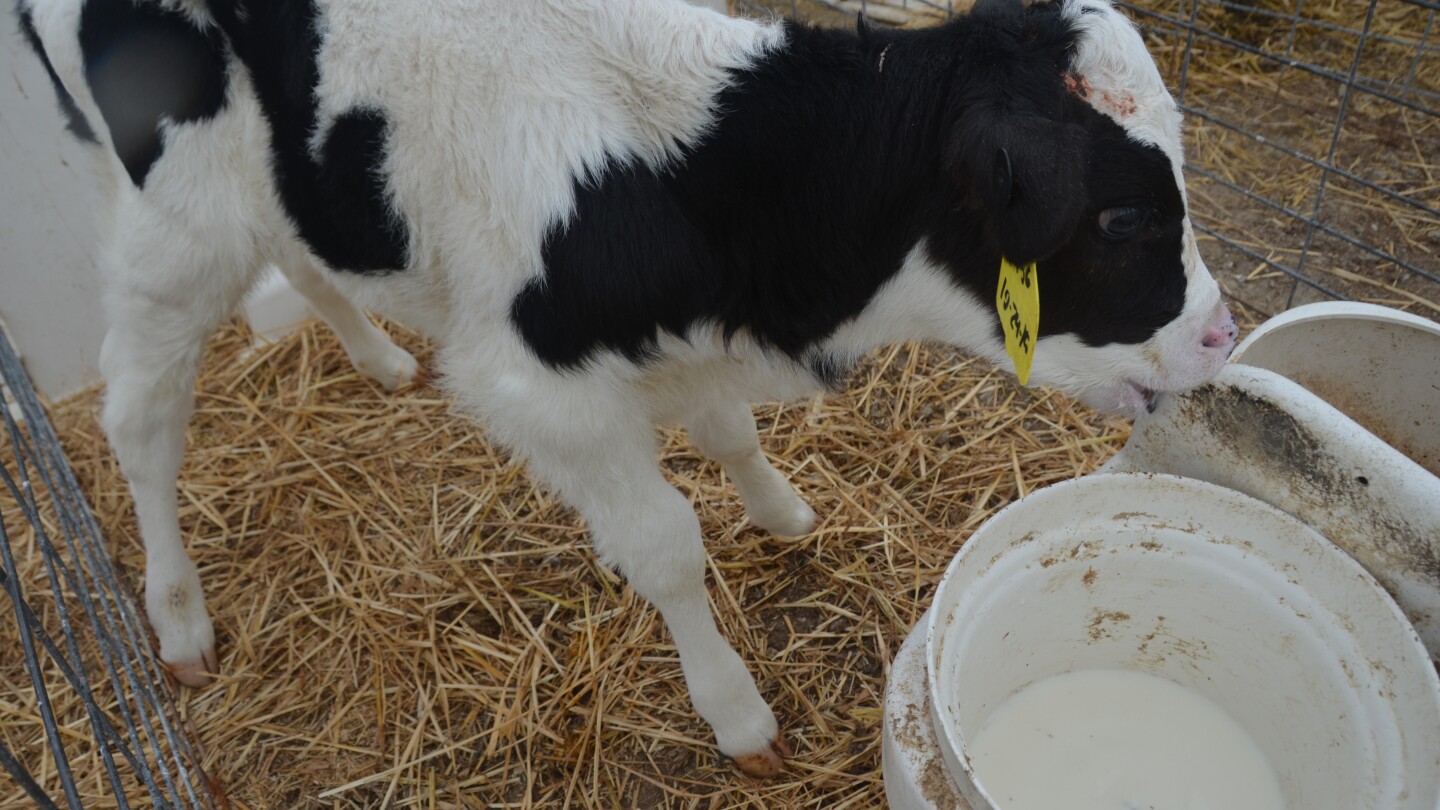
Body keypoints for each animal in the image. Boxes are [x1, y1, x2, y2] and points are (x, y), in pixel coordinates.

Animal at [17, 0, 1236, 775]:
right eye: (1122, 217)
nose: (1223, 335)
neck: (694, 174)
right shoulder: (540, 384)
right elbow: (664, 547)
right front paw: (739, 716)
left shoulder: (677, 343)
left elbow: (731, 433)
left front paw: (782, 510)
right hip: (174, 228)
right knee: (141, 421)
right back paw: (178, 618)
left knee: (311, 259)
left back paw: (379, 358)